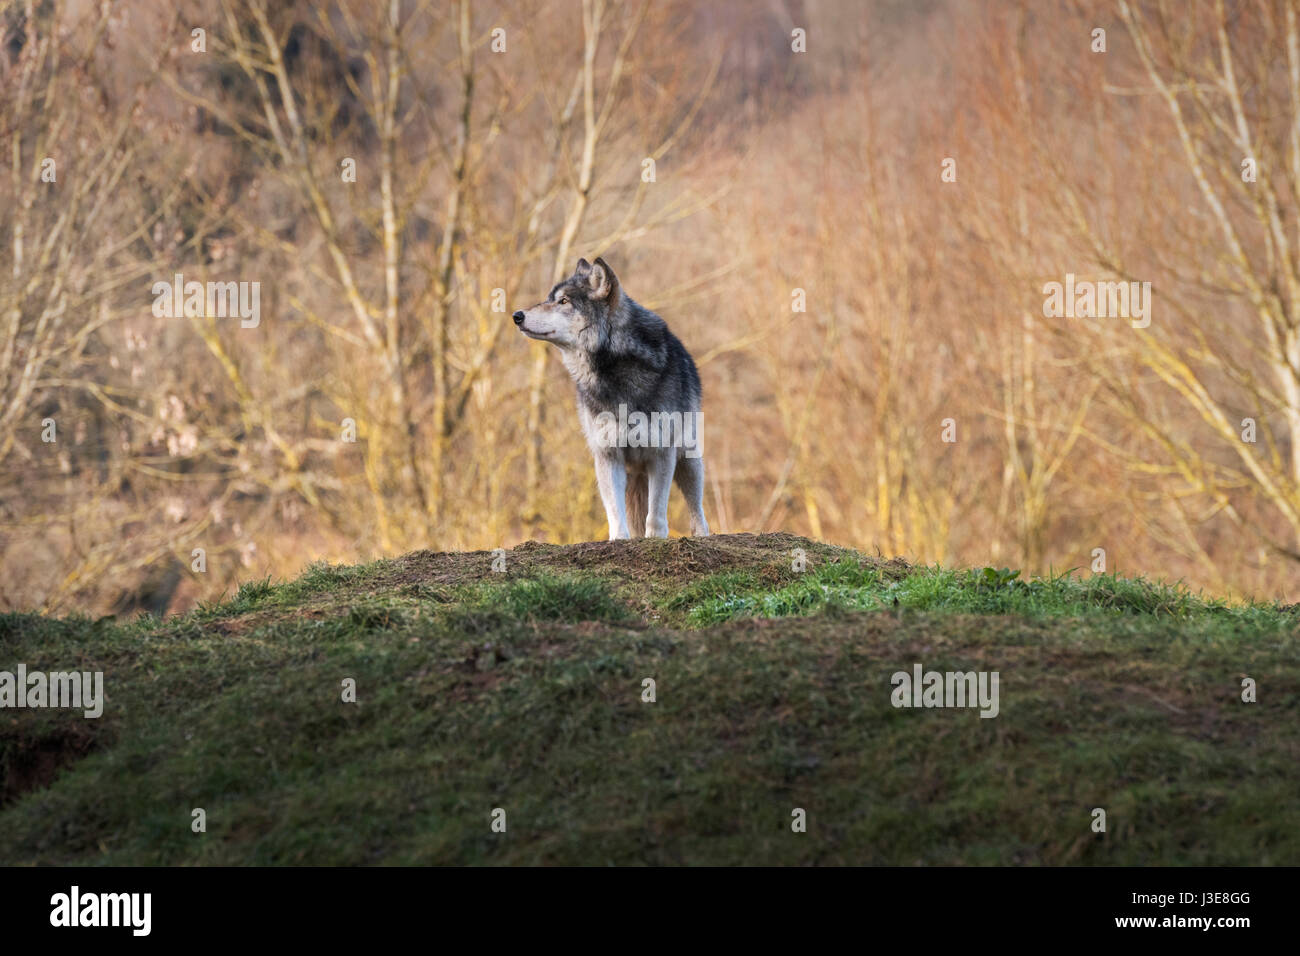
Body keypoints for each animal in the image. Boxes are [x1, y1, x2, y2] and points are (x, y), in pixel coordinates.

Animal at [514, 257, 710, 540]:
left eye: (564, 301)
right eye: (550, 298)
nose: (517, 316)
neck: (613, 370)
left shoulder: (662, 452)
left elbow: (656, 514)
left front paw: (655, 539)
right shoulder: (607, 454)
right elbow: (615, 512)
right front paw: (619, 540)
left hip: (689, 459)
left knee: (696, 509)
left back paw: (702, 535)